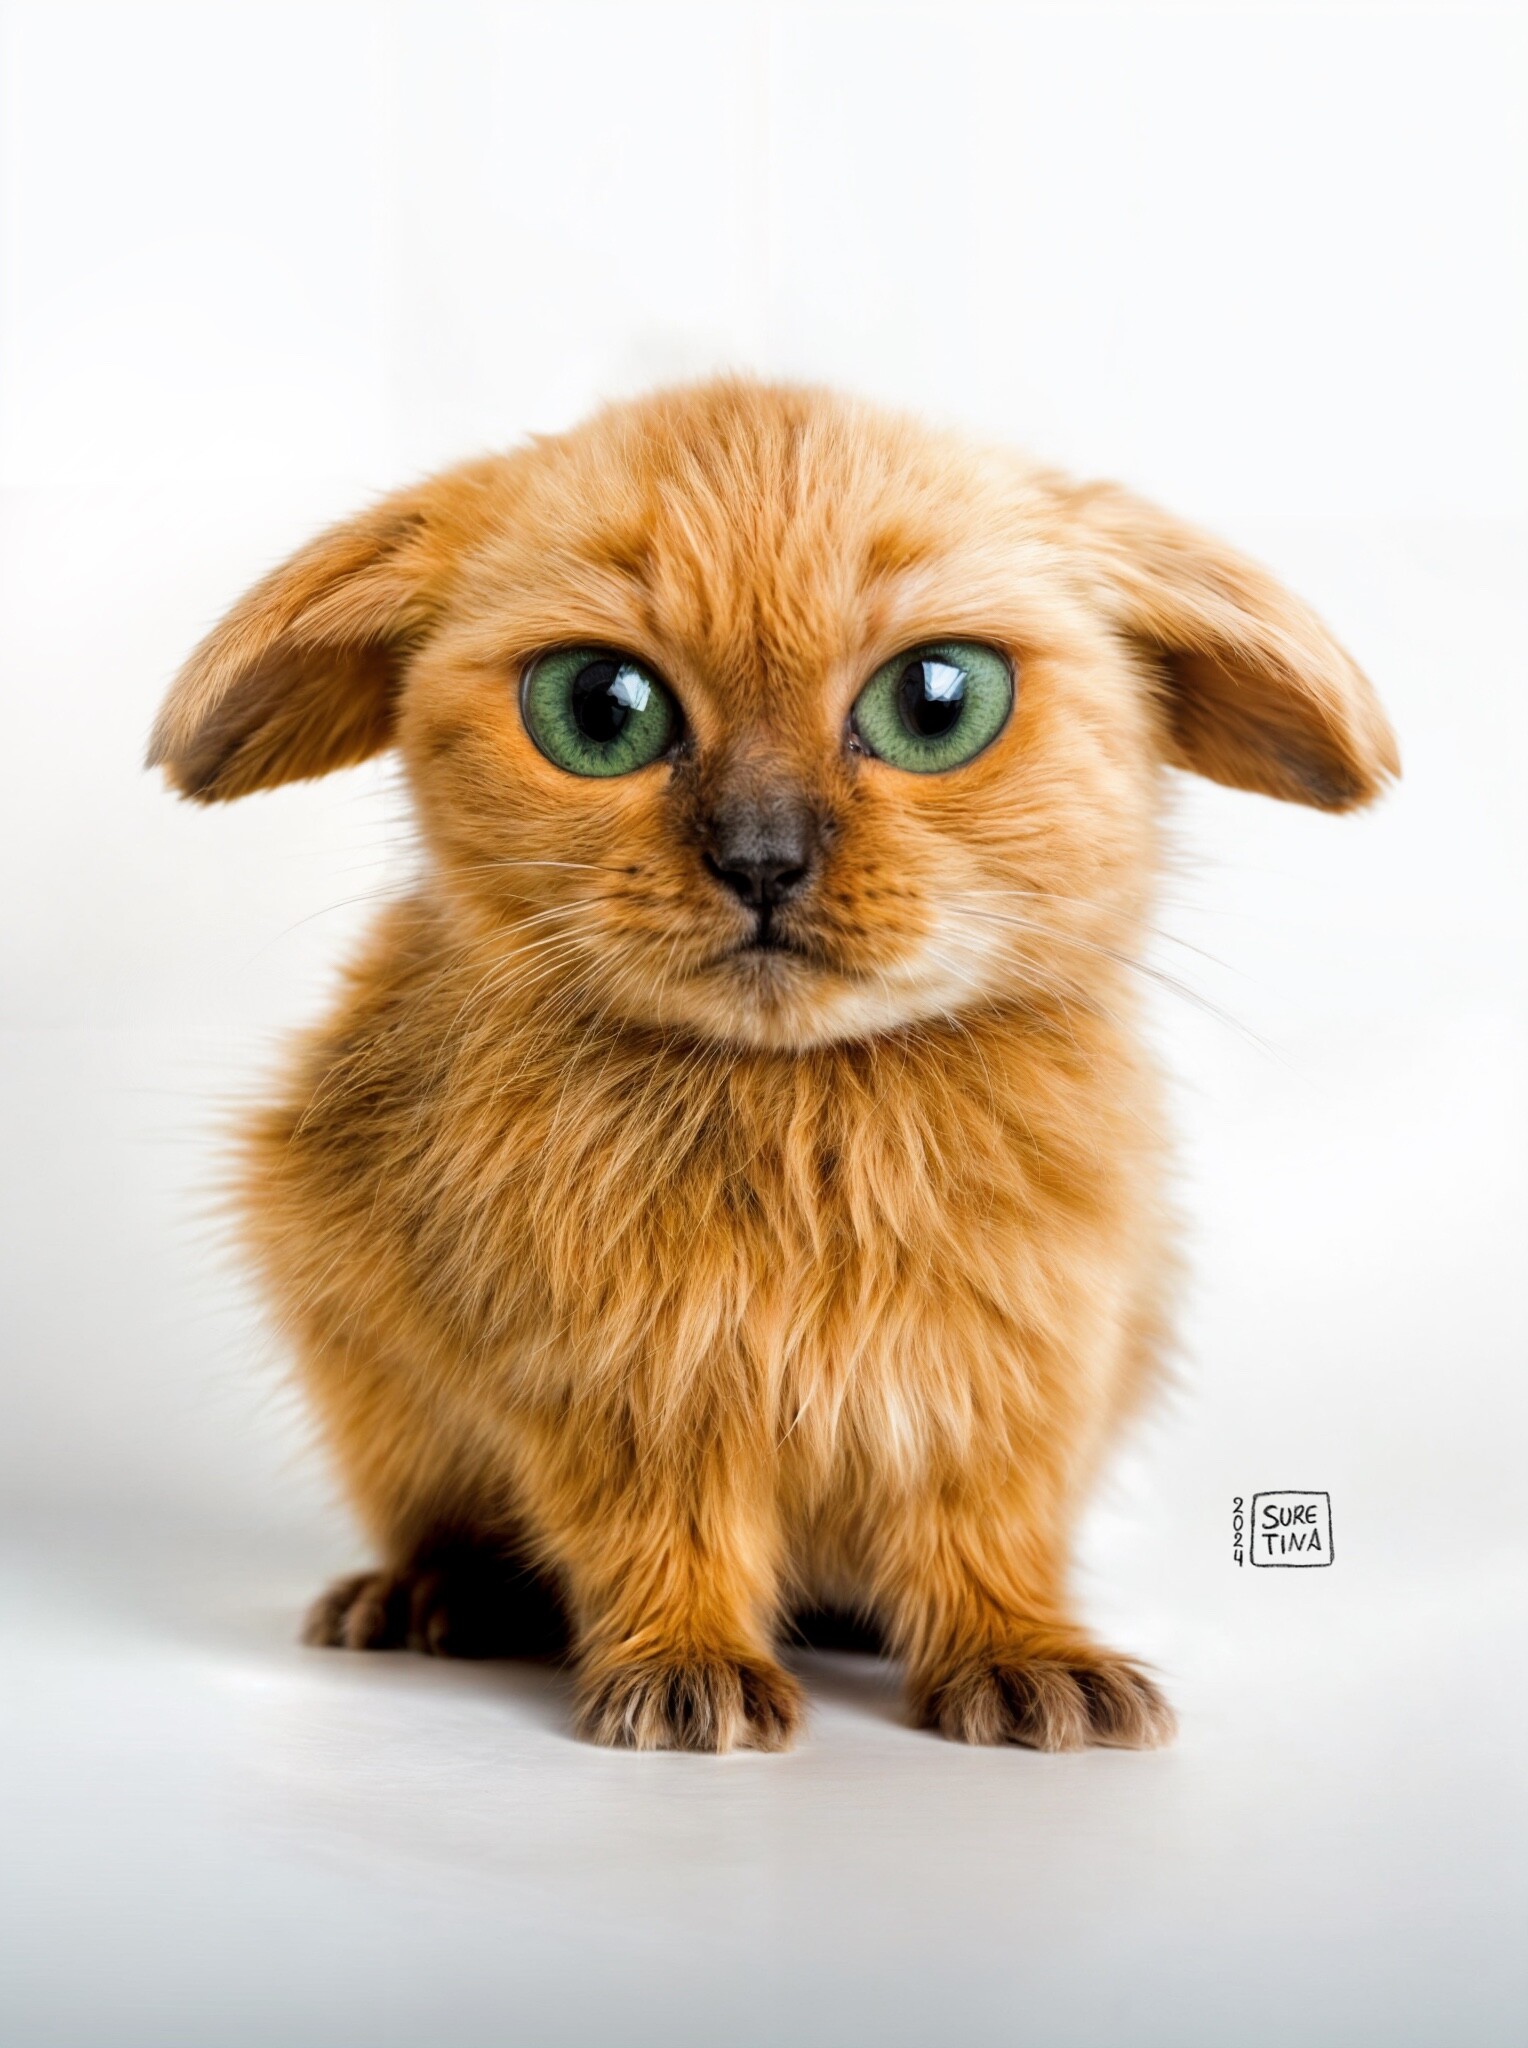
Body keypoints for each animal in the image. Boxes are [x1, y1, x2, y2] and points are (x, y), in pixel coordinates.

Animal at [148, 379, 1397, 1753]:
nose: (760, 856)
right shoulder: (625, 1397)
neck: (800, 1097)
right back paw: (428, 1598)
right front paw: (686, 1674)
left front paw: (1028, 1660)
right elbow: (664, 1534)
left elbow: (985, 1528)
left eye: (938, 703)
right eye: (599, 707)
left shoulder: (1004, 1383)